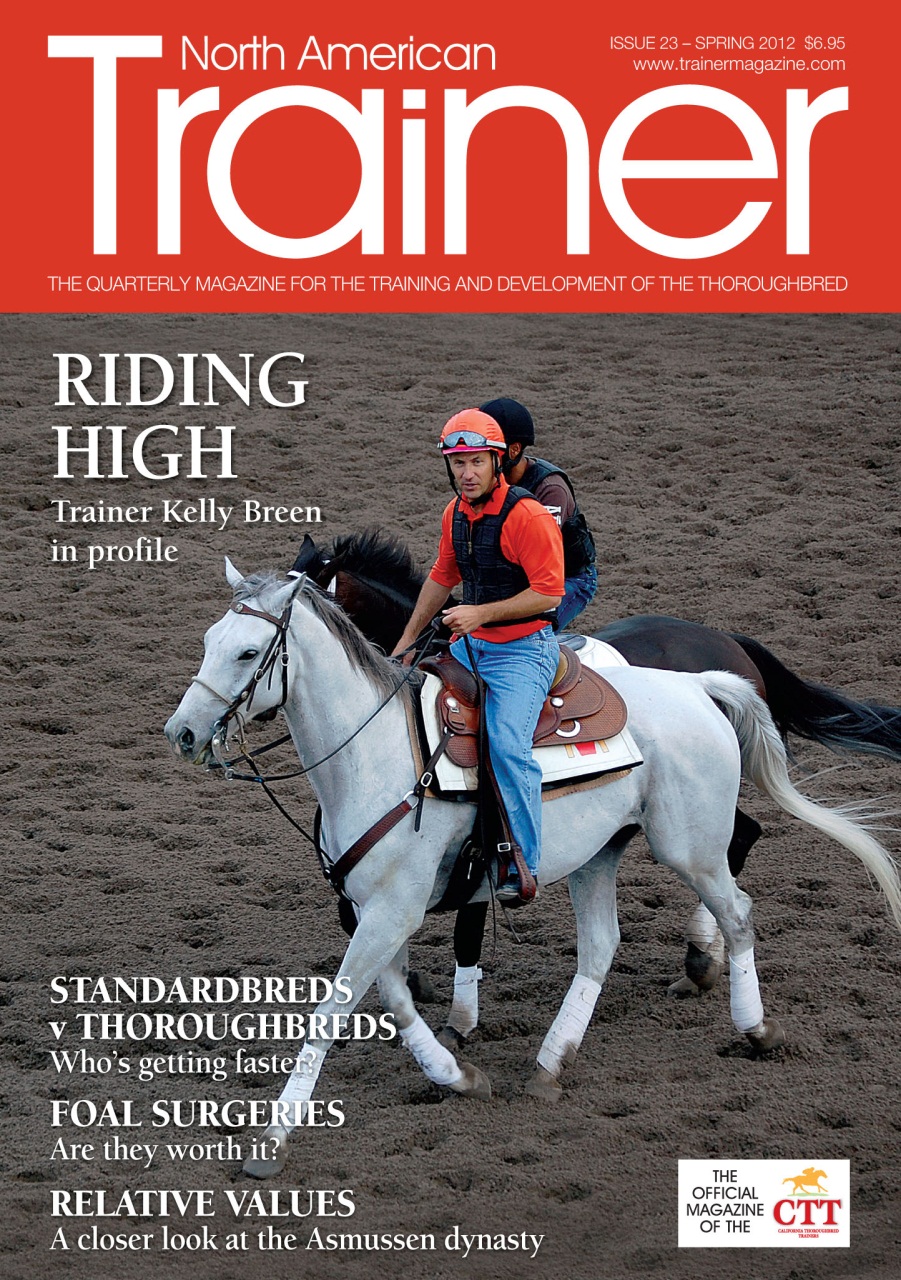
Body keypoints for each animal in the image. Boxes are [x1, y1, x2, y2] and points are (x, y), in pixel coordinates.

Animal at [290, 530, 901, 1033]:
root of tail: (726, 643)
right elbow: (362, 917)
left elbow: (466, 929)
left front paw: (454, 1016)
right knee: (743, 837)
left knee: (738, 843)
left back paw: (700, 960)